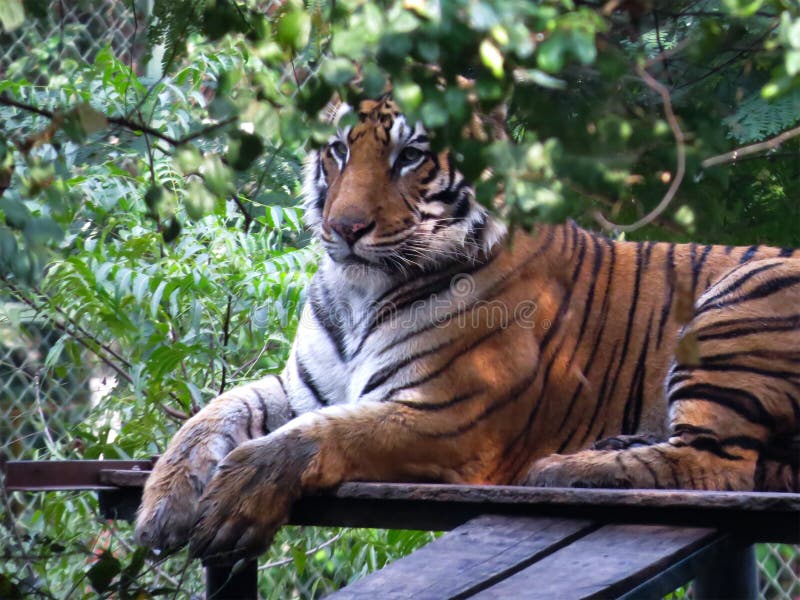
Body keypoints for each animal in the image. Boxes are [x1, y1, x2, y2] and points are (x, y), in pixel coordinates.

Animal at [135, 96, 800, 564]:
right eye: (339, 150)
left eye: (409, 156)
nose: (345, 228)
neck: (357, 293)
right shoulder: (302, 388)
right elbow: (214, 413)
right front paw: (162, 504)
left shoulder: (448, 417)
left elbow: (316, 435)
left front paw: (237, 496)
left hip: (739, 299)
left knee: (722, 466)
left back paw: (566, 470)